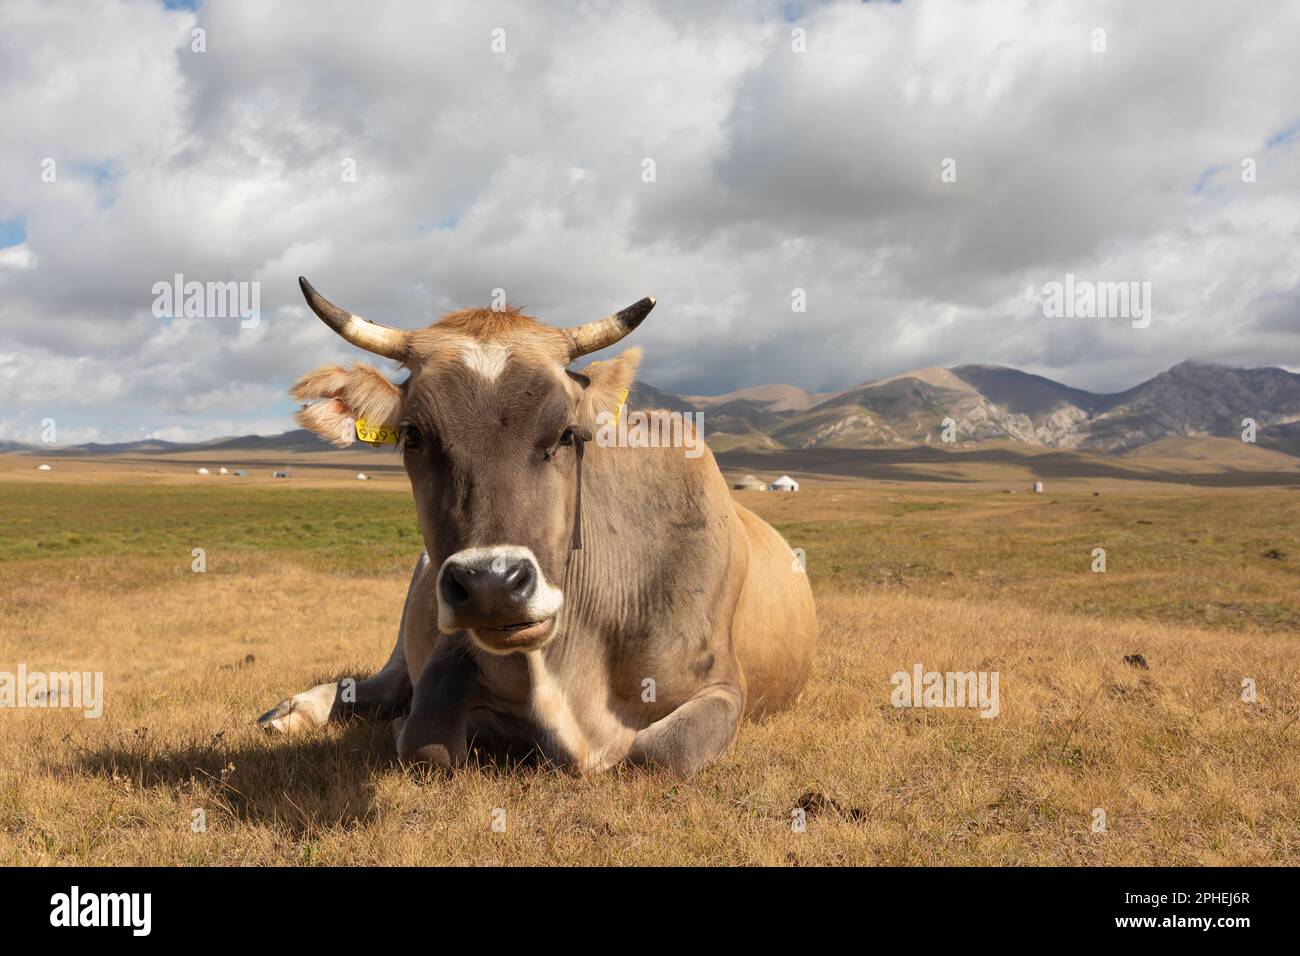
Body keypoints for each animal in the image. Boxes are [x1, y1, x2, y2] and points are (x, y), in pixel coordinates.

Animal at [257, 277, 817, 776]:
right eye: (413, 435)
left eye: (567, 433)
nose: (492, 585)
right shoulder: (450, 651)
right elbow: (425, 742)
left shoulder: (724, 687)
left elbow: (661, 753)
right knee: (376, 686)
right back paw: (291, 712)